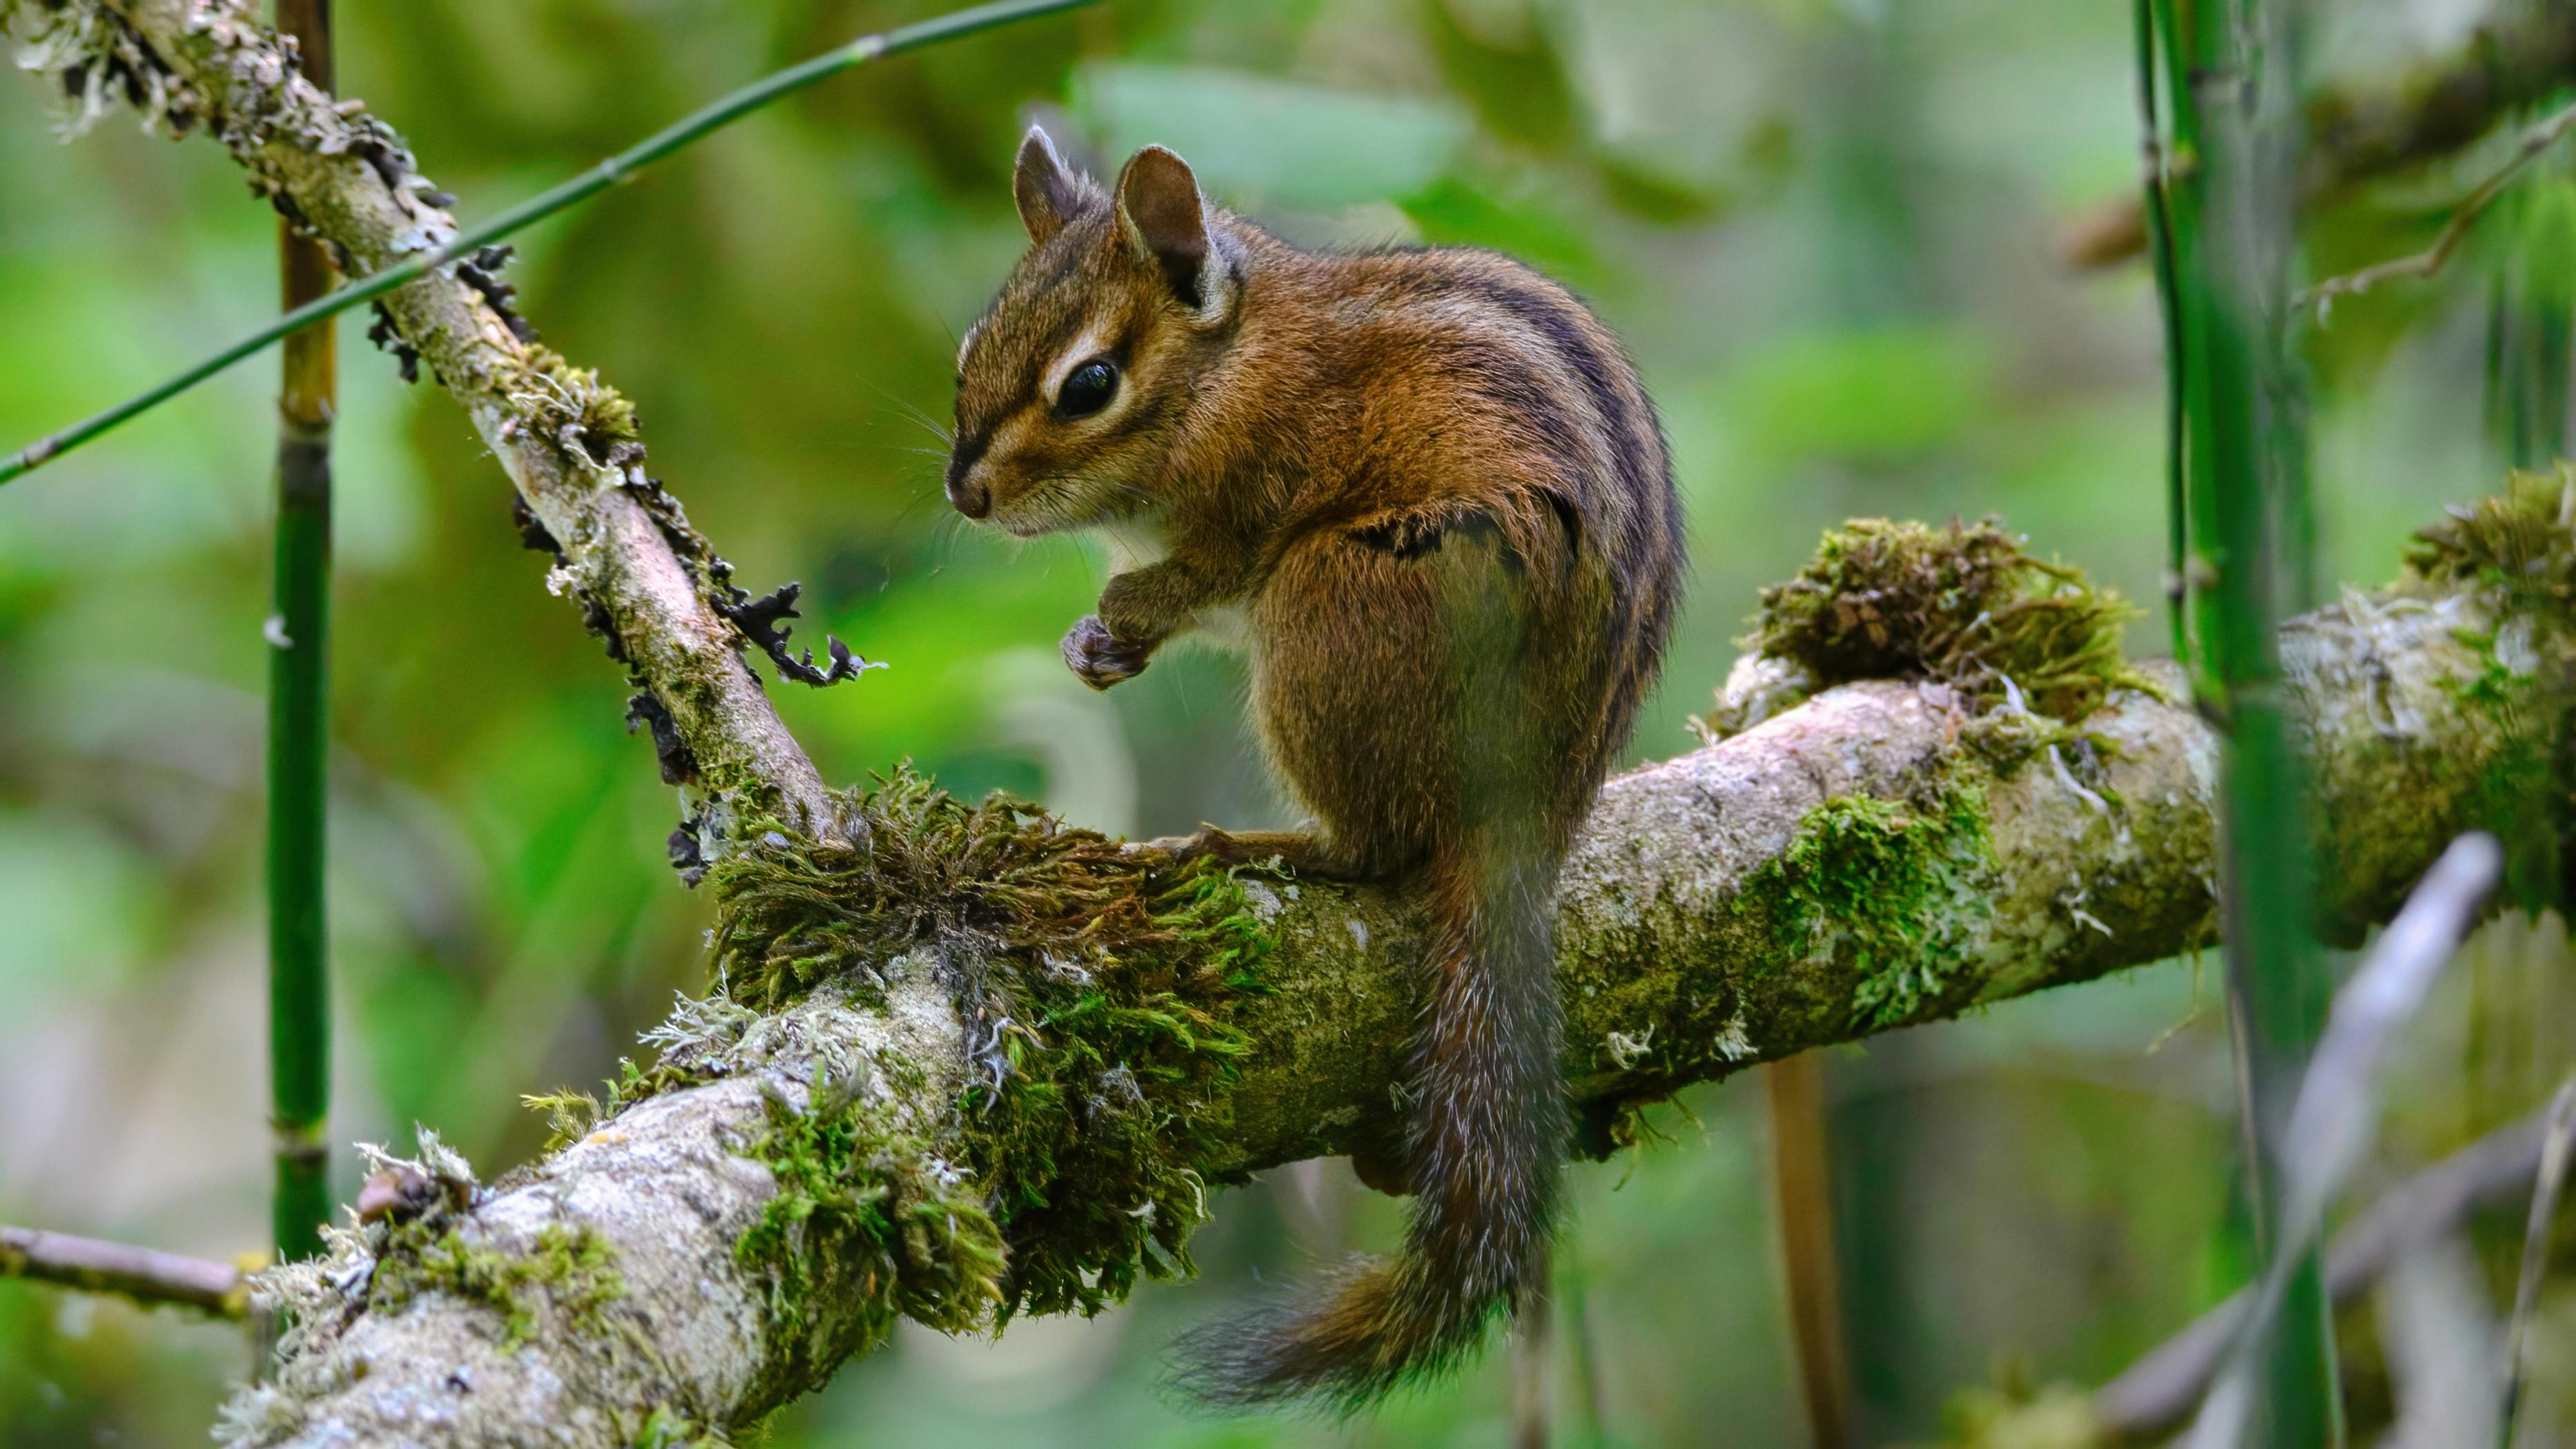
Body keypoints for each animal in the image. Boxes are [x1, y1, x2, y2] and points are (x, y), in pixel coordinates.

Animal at [945, 128, 1683, 1410]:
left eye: (1088, 385)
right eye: (966, 353)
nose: (965, 491)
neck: (1231, 365)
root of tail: (1534, 810)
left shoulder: (1259, 502)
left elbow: (1199, 575)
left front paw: (1124, 613)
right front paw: (1098, 645)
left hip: (1327, 601)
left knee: (1374, 845)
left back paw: (1249, 842)